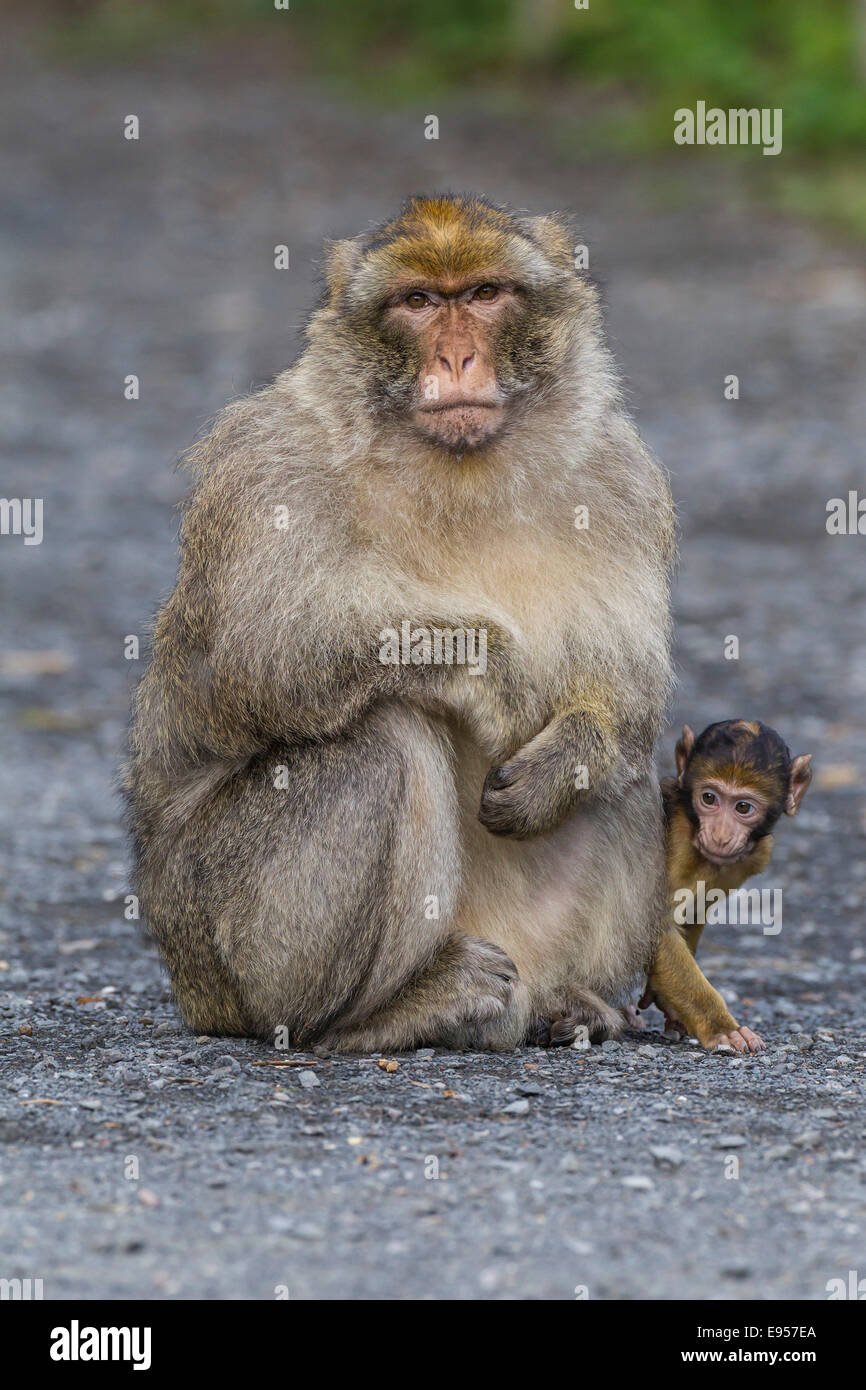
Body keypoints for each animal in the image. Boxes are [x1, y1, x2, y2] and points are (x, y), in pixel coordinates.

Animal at [125, 193, 676, 1052]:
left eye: (483, 294)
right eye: (417, 302)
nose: (456, 359)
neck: (456, 470)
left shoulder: (621, 479)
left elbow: (628, 696)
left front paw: (569, 756)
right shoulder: (265, 467)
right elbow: (258, 656)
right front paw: (490, 666)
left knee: (628, 774)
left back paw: (573, 1004)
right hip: (219, 945)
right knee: (378, 739)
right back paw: (369, 1016)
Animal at [640, 719, 812, 1051]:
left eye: (743, 807)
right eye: (709, 798)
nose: (720, 835)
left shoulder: (750, 858)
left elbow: (693, 913)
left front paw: (668, 1004)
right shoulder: (677, 843)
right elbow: (651, 924)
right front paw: (721, 1027)